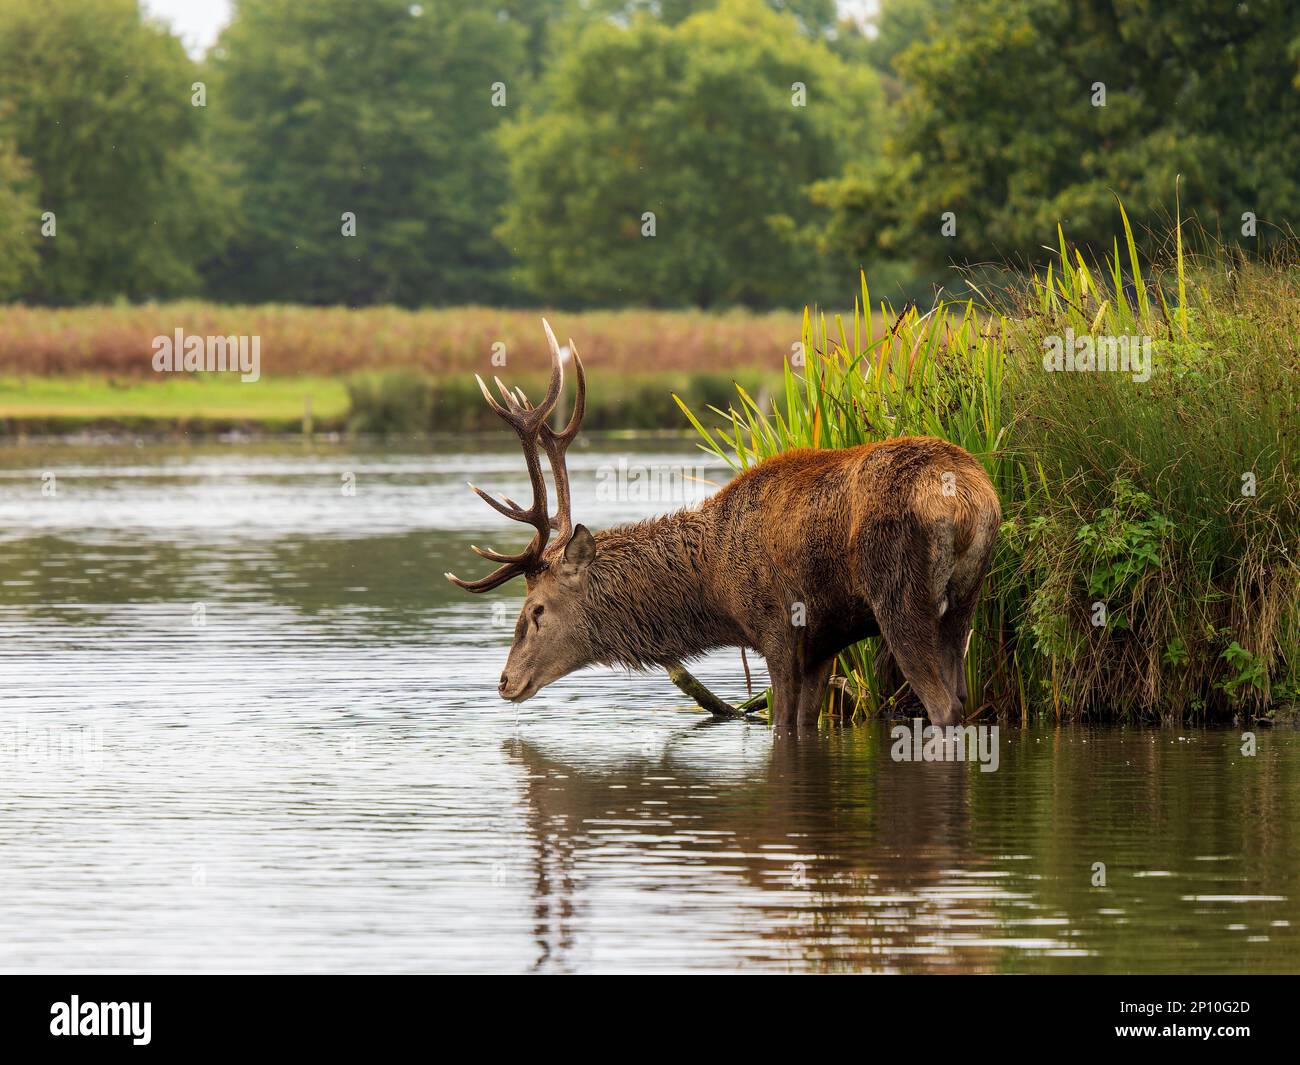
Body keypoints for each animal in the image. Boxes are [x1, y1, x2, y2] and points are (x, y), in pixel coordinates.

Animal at [446, 321, 1001, 732]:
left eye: (536, 609)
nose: (504, 681)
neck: (715, 585)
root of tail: (972, 501)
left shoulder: (778, 627)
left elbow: (783, 726)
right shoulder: (823, 643)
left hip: (899, 594)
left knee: (944, 705)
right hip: (966, 600)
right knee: (962, 695)